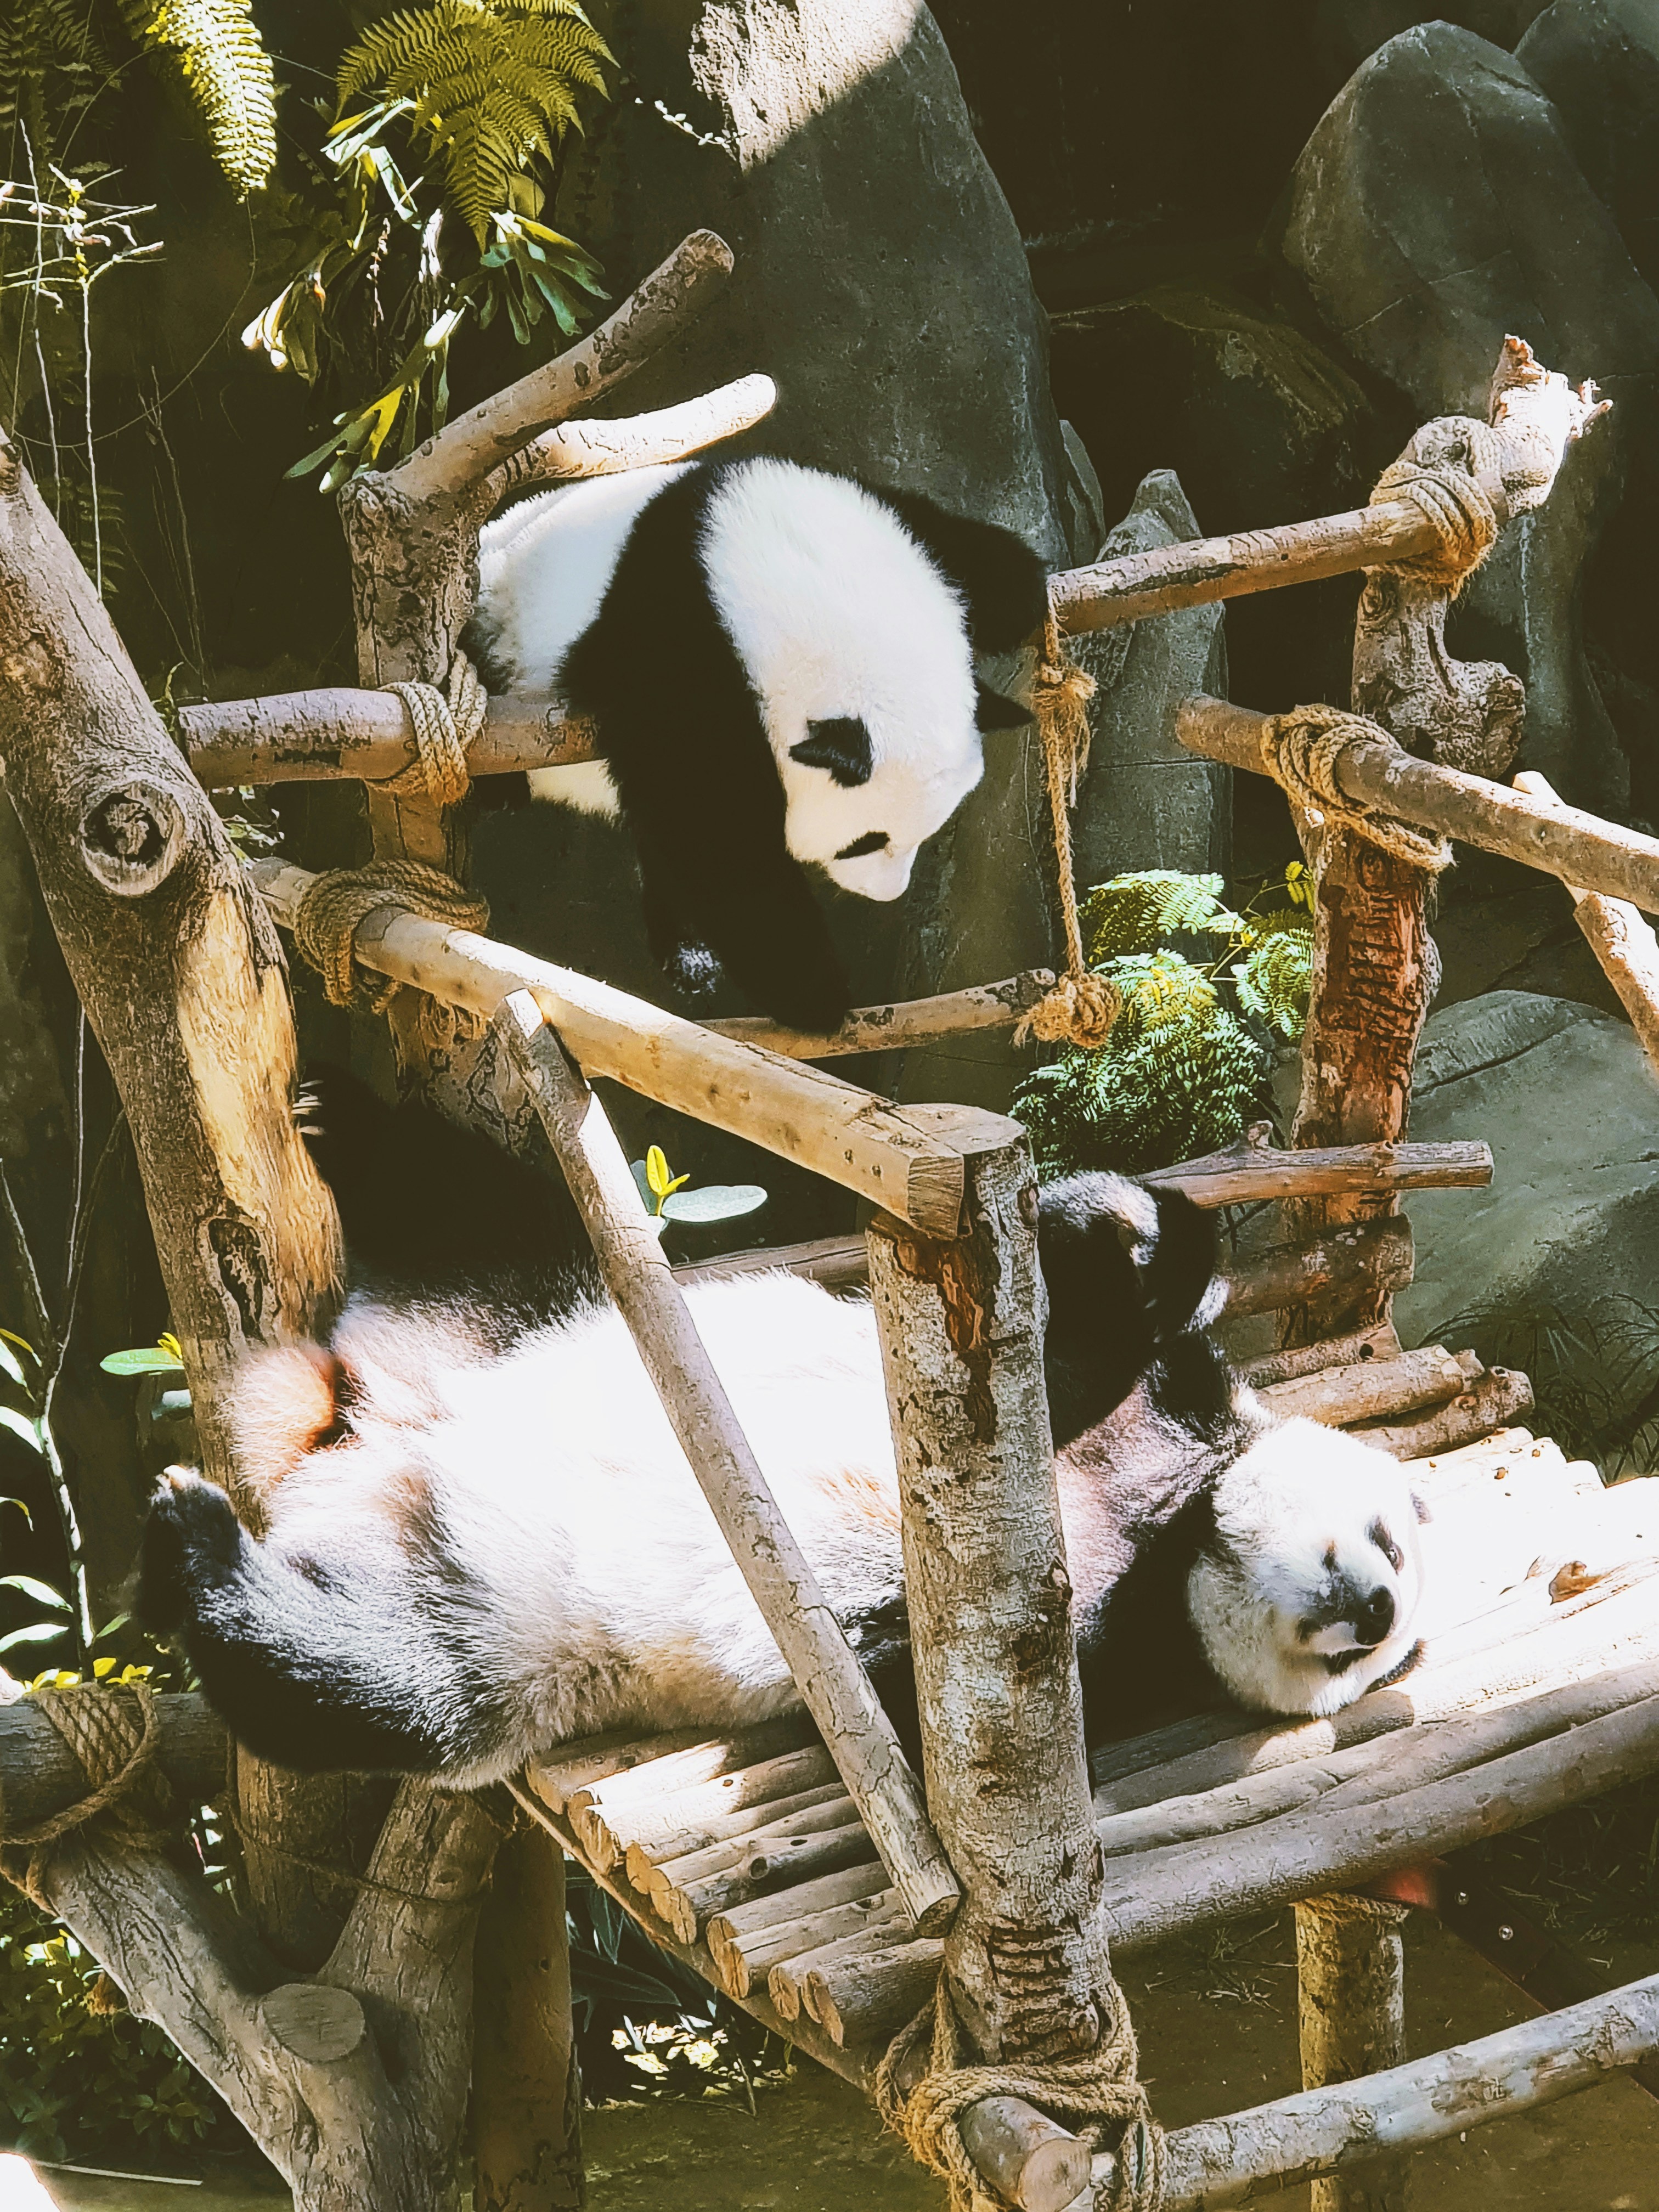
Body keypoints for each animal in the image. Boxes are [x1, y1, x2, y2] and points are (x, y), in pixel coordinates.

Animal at [136, 1078, 1428, 1784]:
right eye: (1390, 1542)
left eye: (1370, 1654)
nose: (1369, 1611)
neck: (1174, 1519)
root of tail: (372, 1427)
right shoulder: (1143, 1394)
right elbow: (1082, 1297)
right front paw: (1132, 1235)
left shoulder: (1123, 1650)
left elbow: (938, 1720)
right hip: (552, 1308)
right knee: (489, 1213)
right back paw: (344, 1121)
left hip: (488, 1612)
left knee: (370, 1679)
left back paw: (196, 1547)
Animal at [467, 457, 1049, 1033]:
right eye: (865, 842)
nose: (889, 893)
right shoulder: (677, 652)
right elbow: (715, 833)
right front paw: (815, 996)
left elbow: (959, 543)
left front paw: (1020, 595)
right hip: (497, 610)